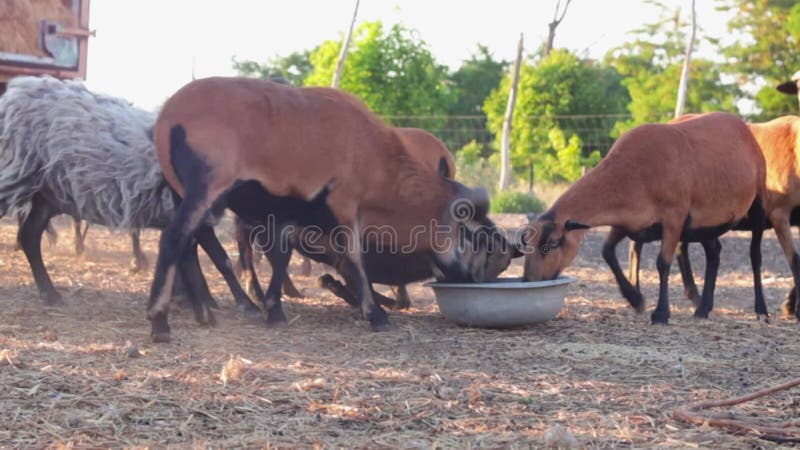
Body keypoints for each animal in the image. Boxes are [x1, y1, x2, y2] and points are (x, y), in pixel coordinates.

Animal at [0, 75, 256, 321]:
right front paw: (245, 305)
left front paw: (199, 303)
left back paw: (50, 294)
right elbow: (219, 258)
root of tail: (11, 96)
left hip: (48, 195)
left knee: (29, 236)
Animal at [147, 76, 520, 342]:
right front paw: (376, 315)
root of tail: (166, 117)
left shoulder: (290, 210)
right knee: (174, 239)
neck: (381, 164)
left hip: (183, 190)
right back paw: (160, 322)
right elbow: (354, 258)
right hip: (206, 184)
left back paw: (207, 314)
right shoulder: (343, 203)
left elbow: (281, 257)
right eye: (479, 241)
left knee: (193, 245)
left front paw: (274, 311)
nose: (476, 283)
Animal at [522, 112, 766, 324]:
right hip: (705, 220)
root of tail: (742, 125)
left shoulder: (674, 216)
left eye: (551, 245)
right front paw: (636, 300)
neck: (631, 173)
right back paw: (703, 309)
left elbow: (662, 263)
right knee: (714, 253)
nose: (528, 282)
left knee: (755, 256)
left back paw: (761, 311)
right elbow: (607, 251)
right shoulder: (629, 221)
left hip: (758, 203)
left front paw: (660, 314)